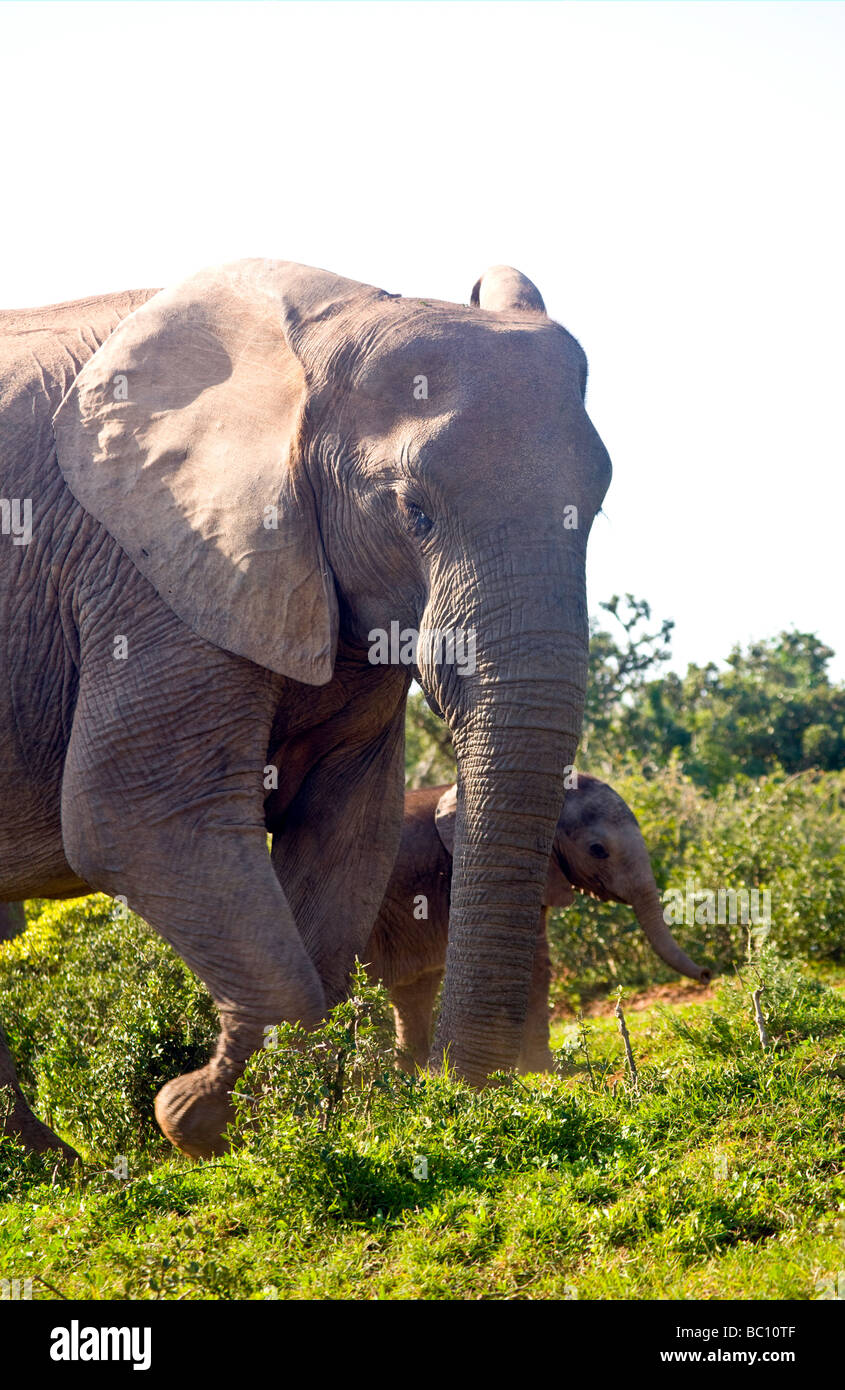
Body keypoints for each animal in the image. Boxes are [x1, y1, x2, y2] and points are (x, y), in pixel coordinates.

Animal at [0, 258, 611, 1160]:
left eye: (595, 507)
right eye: (412, 511)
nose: (480, 1089)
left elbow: (342, 831)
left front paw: (265, 1118)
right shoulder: (145, 566)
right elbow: (139, 823)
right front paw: (212, 1122)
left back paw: (52, 1169)